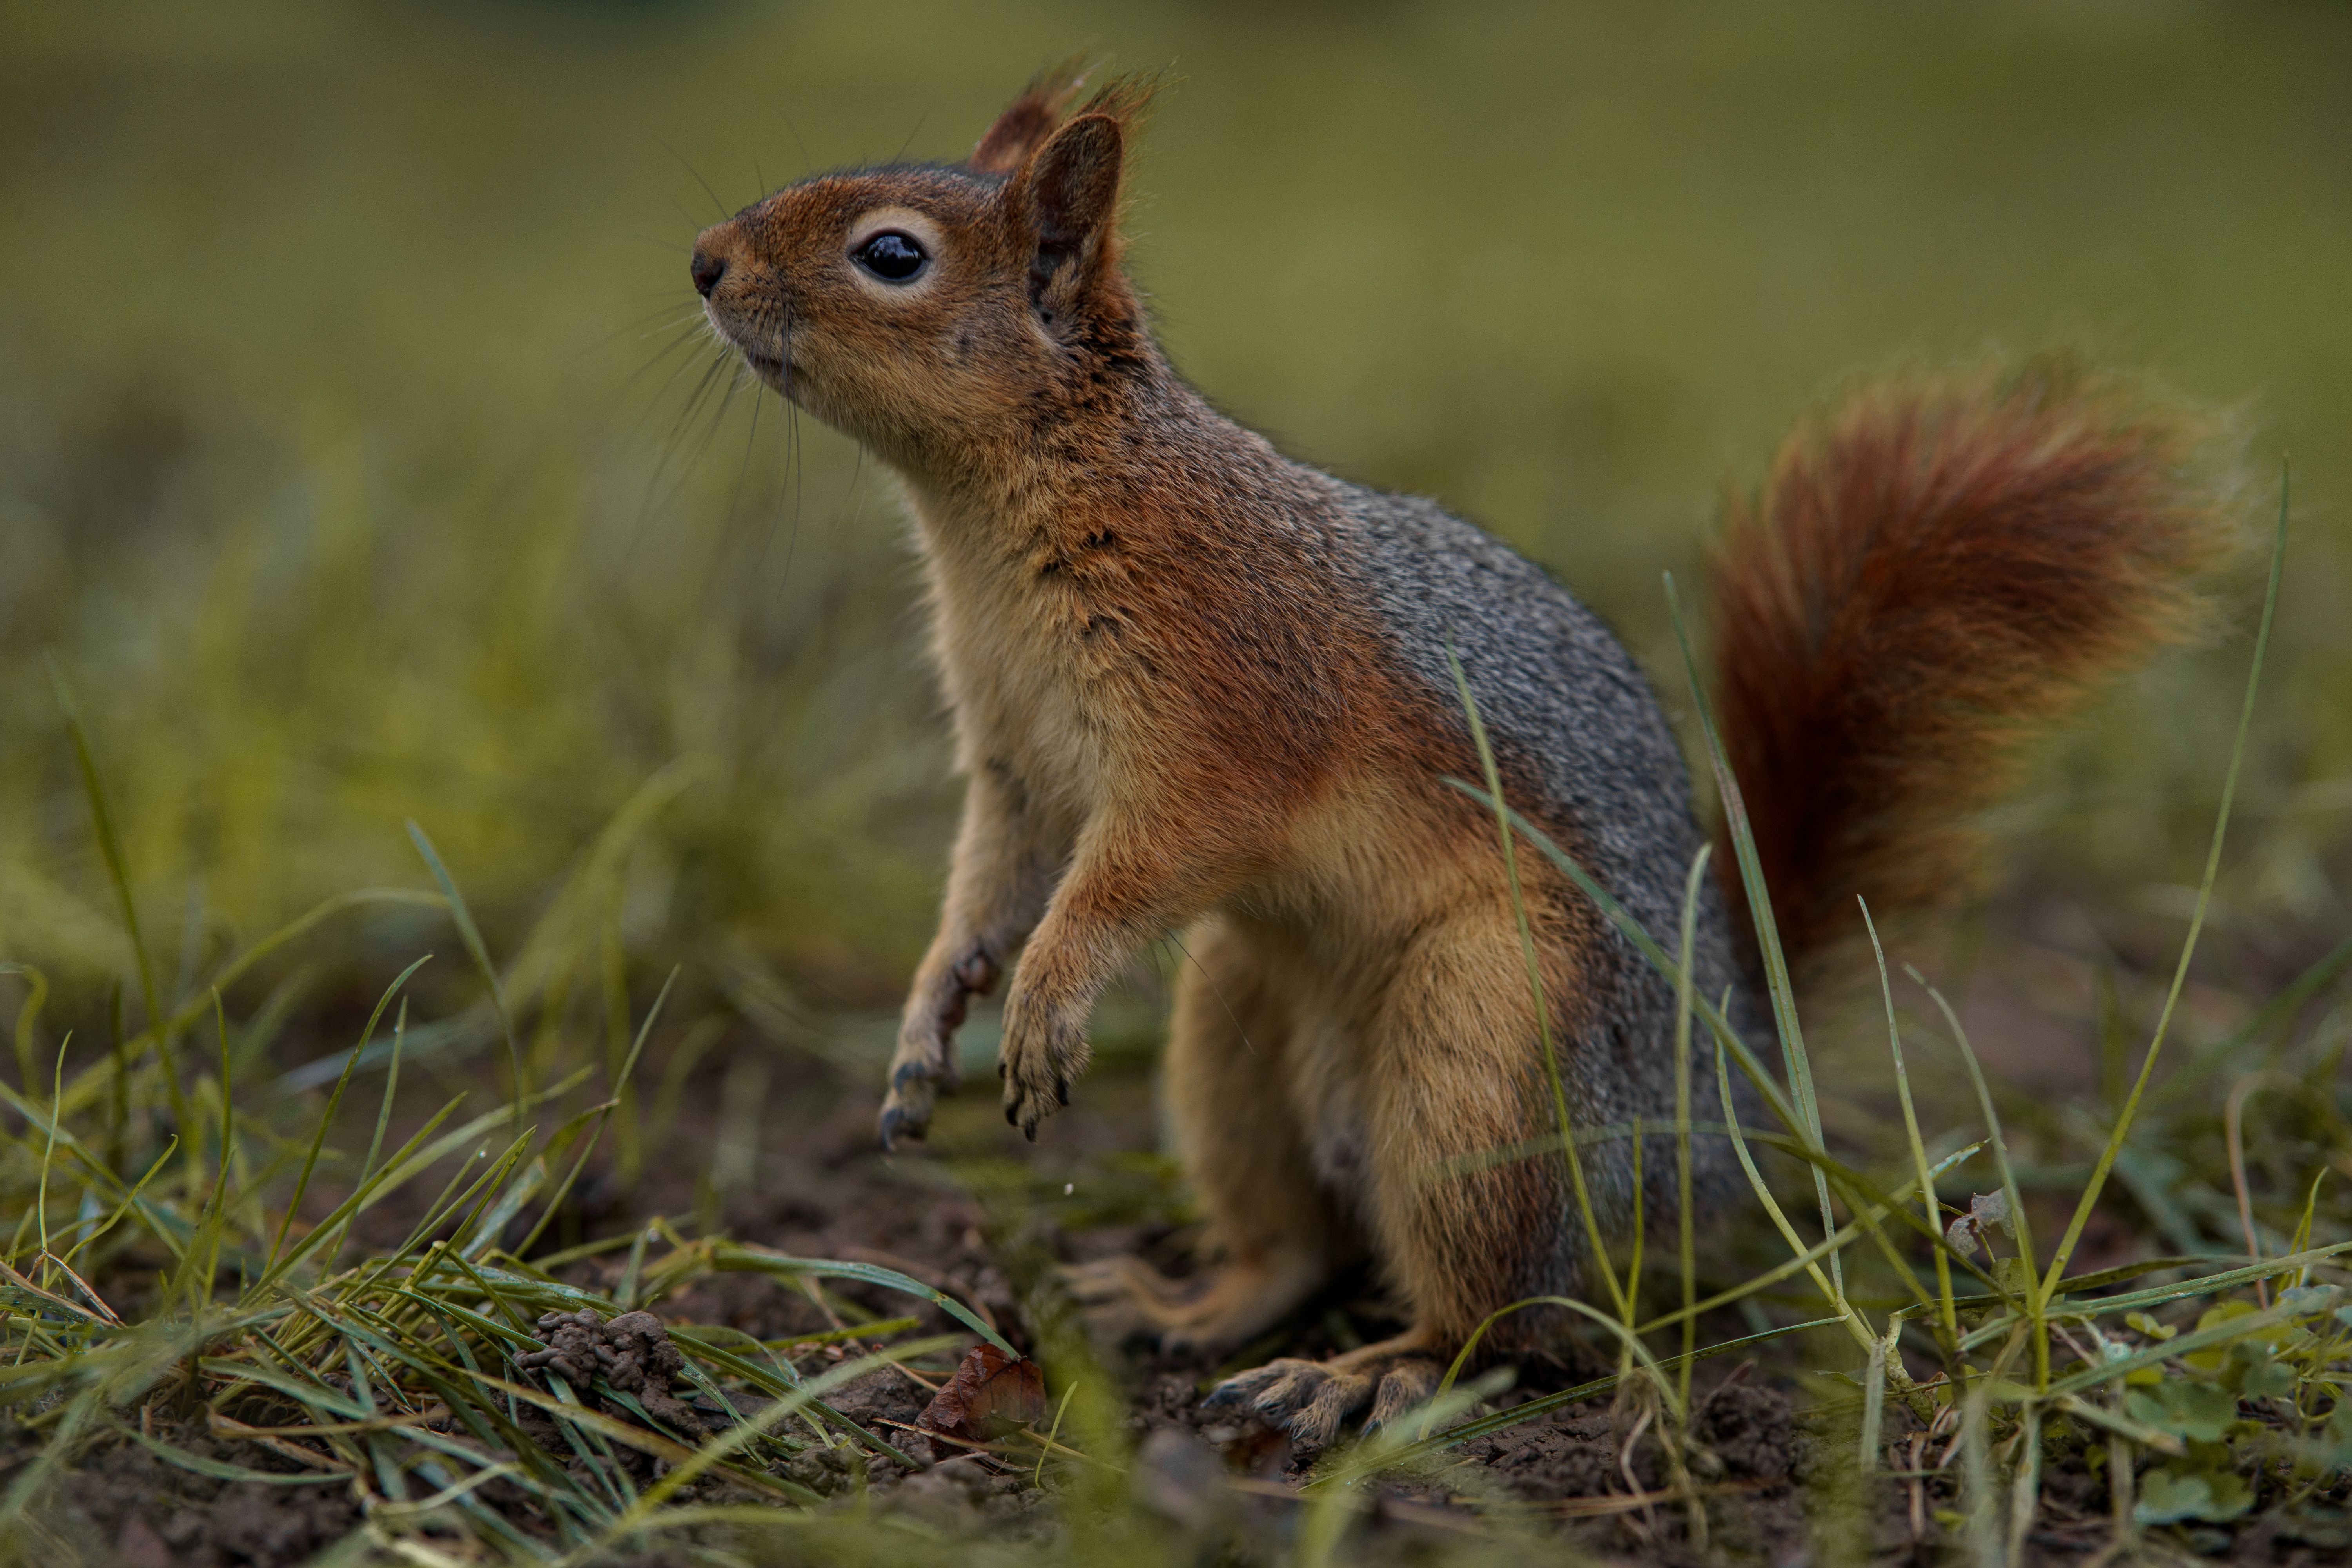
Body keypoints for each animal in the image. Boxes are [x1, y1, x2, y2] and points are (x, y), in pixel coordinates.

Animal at [689, 65, 2231, 1446]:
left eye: (893, 256)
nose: (704, 261)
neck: (1005, 510)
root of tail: (1719, 1120)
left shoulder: (1227, 705)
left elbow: (1146, 859)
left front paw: (1049, 995)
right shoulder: (1013, 761)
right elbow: (991, 881)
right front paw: (929, 1021)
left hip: (1484, 1058)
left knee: (1503, 1324)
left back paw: (1362, 1380)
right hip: (1238, 1030)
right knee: (1300, 1244)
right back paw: (1192, 1309)